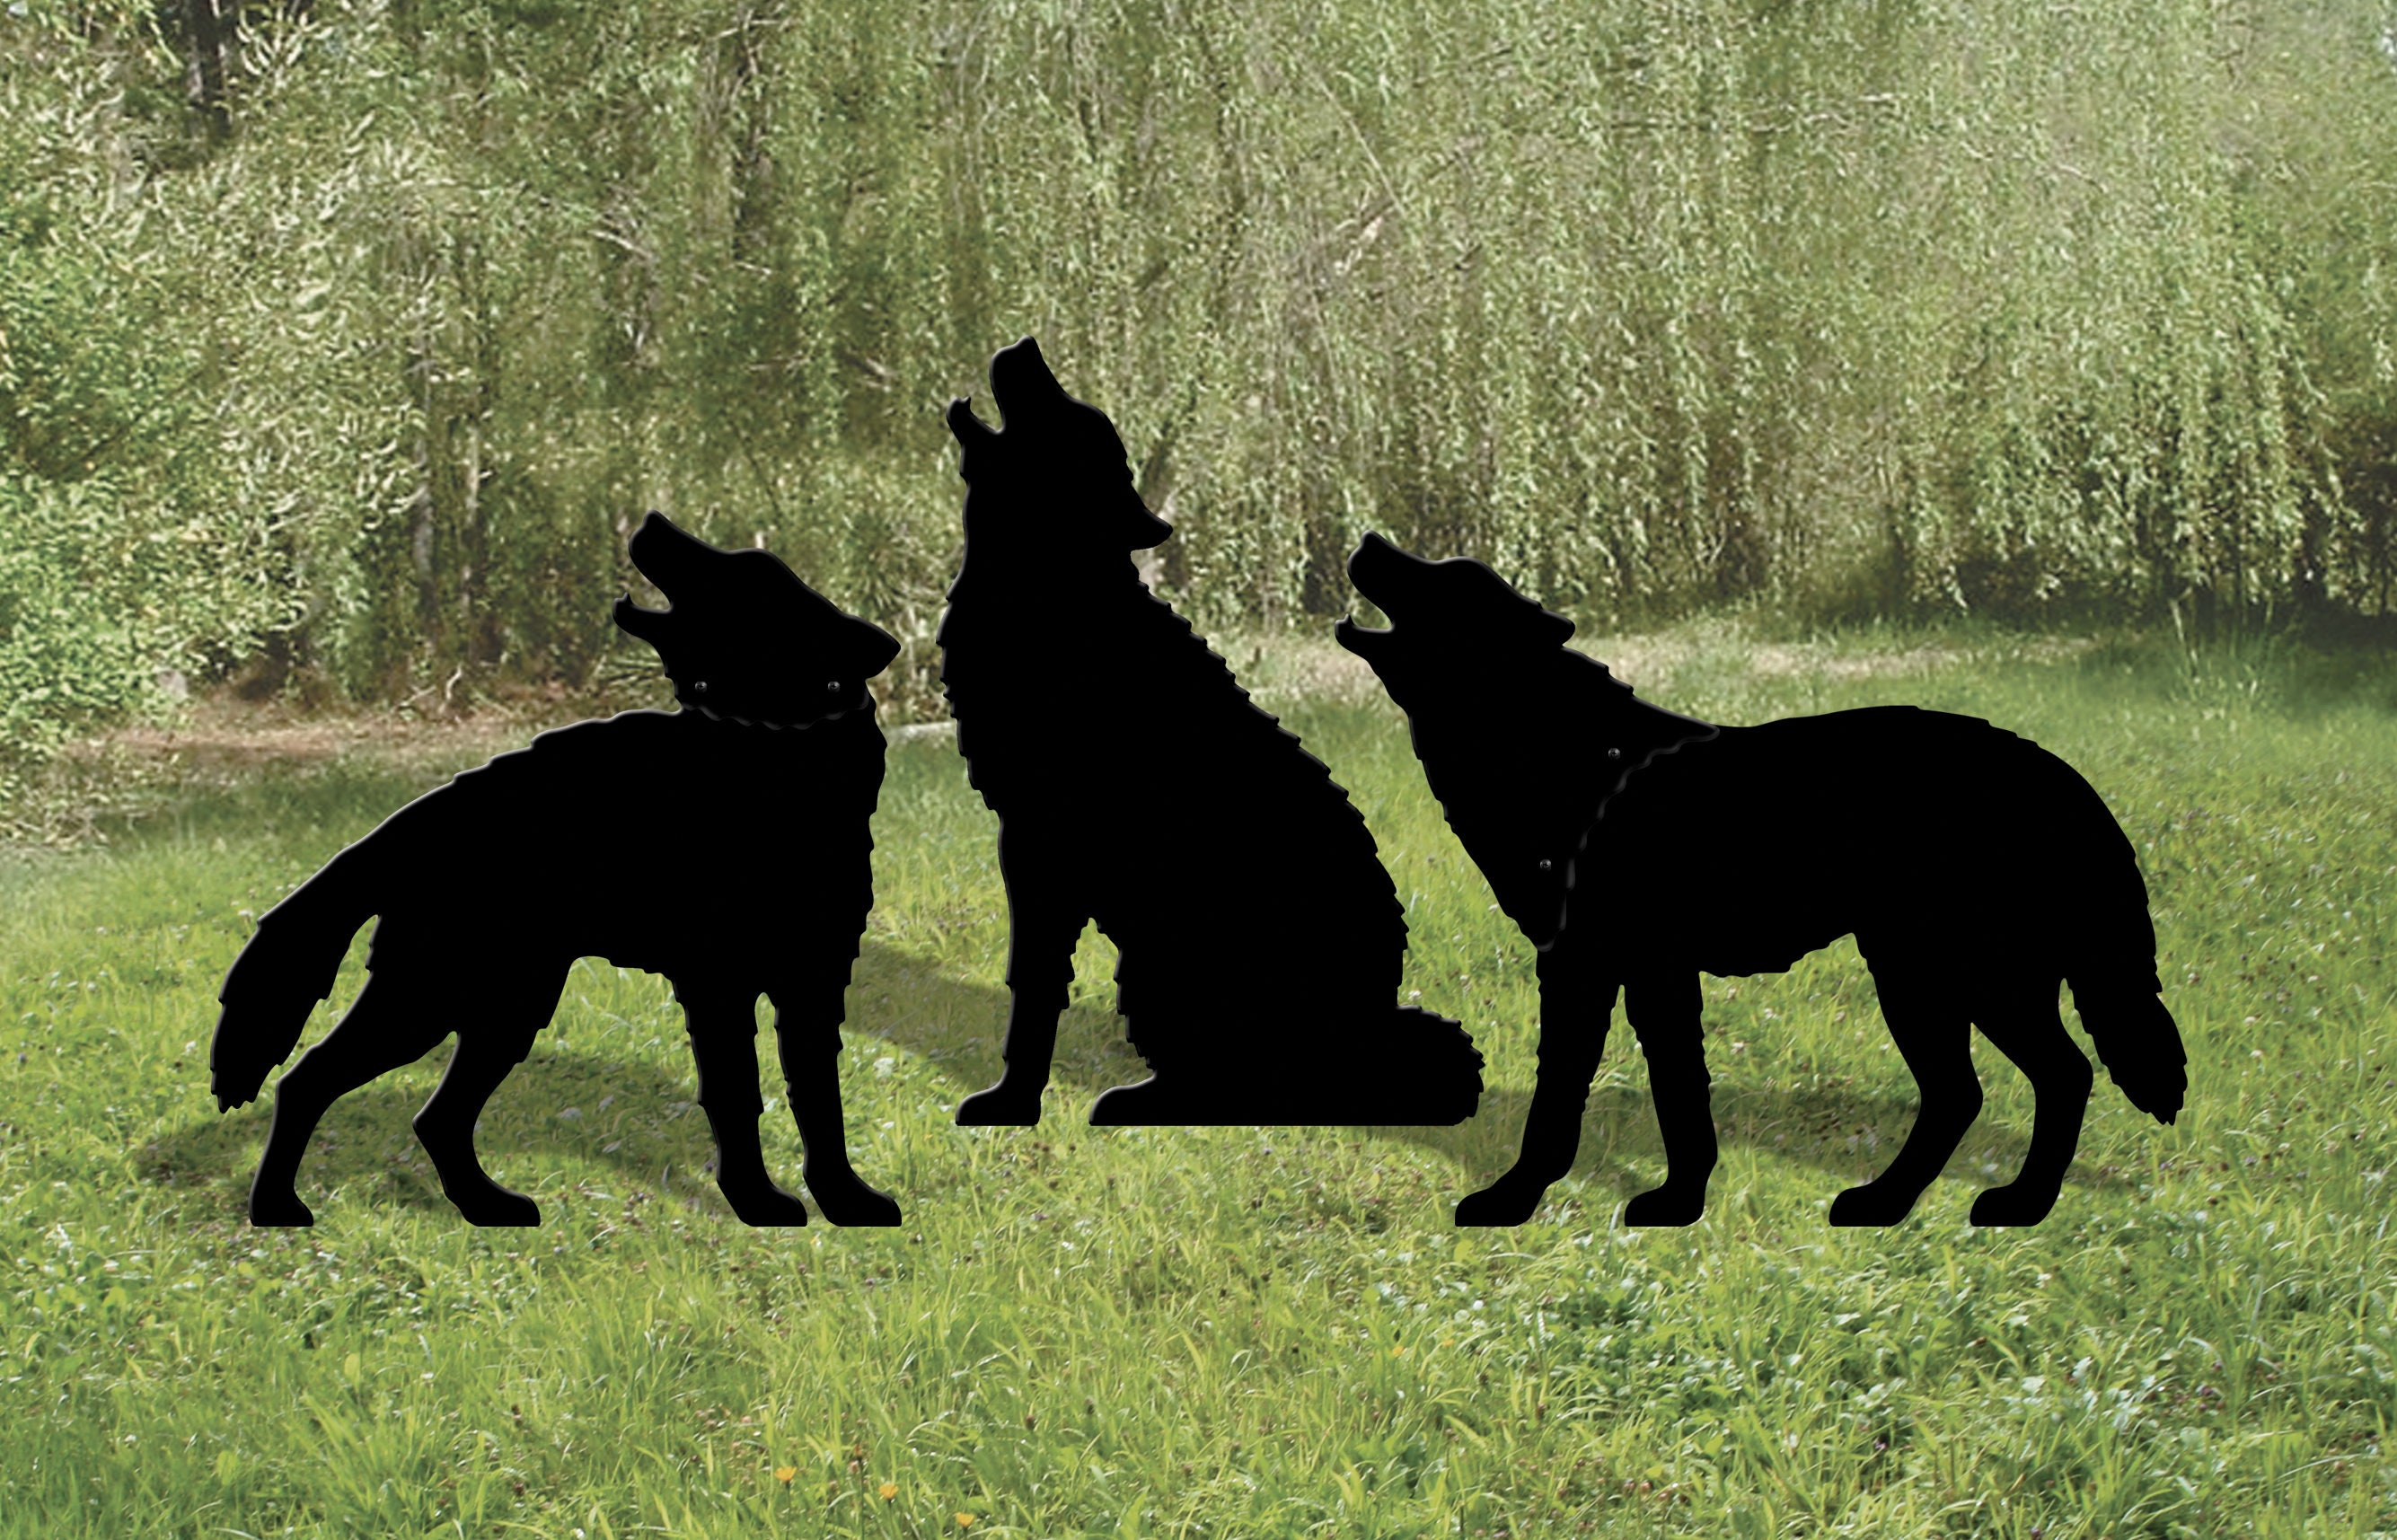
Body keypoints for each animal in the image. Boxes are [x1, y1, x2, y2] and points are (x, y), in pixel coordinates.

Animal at [209, 513, 906, 1228]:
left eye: (740, 572)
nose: (652, 520)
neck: (770, 748)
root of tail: (414, 822)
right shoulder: (720, 986)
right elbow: (739, 1096)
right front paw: (756, 1201)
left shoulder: (814, 982)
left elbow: (820, 1102)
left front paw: (843, 1199)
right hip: (432, 997)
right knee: (308, 1081)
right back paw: (276, 1206)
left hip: (505, 1003)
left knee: (436, 1119)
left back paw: (485, 1206)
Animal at [937, 338, 1482, 1126]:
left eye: (1076, 418)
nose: (1027, 344)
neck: (1050, 589)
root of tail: (1373, 1030)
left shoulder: (1038, 842)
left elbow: (1033, 984)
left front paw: (1011, 1104)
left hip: (1160, 966)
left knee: (1246, 1088)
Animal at [1337, 532, 2186, 1227]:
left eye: (1447, 578)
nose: (1370, 537)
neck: (1565, 757)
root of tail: (2053, 771)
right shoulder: (1630, 975)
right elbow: (1655, 1094)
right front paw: (1660, 1203)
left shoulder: (1602, 970)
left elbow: (1589, 1101)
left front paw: (1539, 1201)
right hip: (1916, 976)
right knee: (1961, 1093)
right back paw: (1884, 1203)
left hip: (1975, 975)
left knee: (2060, 1075)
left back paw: (2020, 1204)